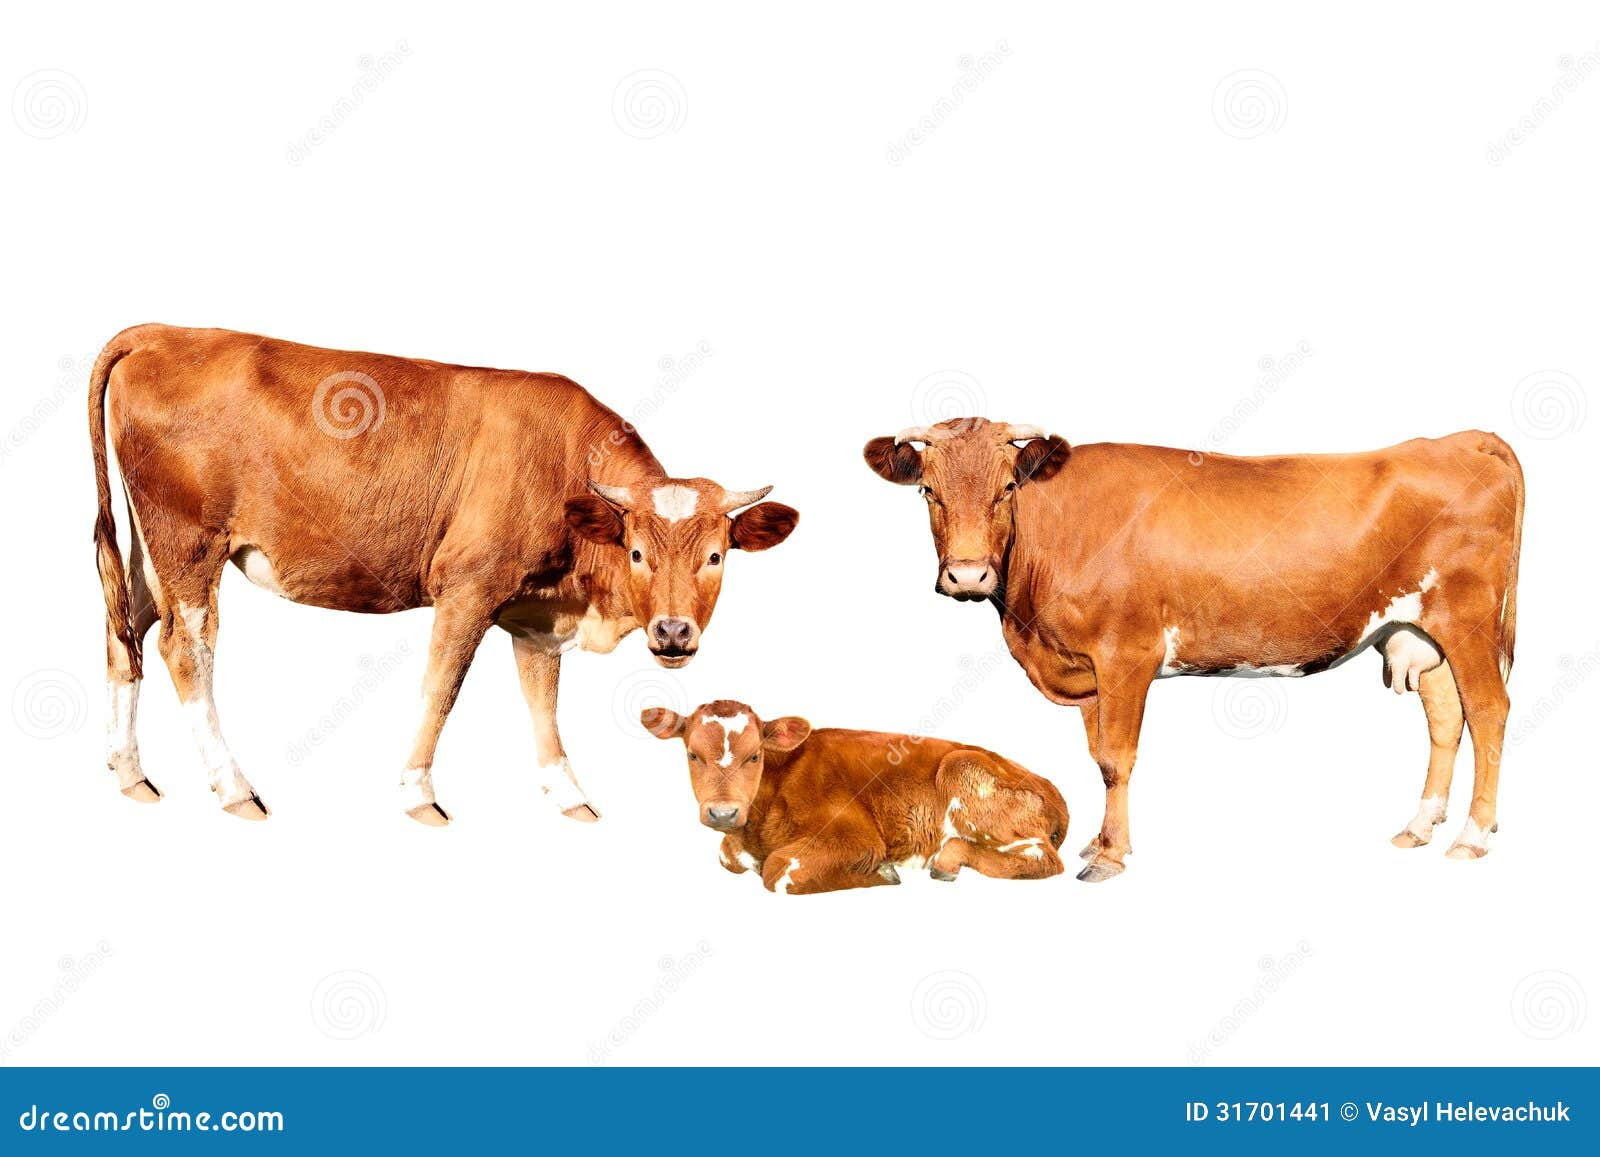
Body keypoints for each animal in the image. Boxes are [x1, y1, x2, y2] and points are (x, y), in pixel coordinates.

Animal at [89, 324, 798, 824]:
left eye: (716, 555)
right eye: (637, 553)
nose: (674, 633)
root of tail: (160, 332)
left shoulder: (536, 617)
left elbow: (543, 703)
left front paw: (570, 796)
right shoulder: (468, 587)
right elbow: (440, 689)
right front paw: (417, 794)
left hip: (149, 555)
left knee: (124, 635)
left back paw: (131, 776)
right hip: (188, 545)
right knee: (186, 650)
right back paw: (234, 788)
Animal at [639, 699, 1070, 894]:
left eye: (755, 755)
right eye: (692, 754)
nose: (723, 813)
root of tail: (1049, 786)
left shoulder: (855, 836)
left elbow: (778, 871)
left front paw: (880, 873)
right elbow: (727, 856)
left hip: (961, 770)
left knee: (1043, 860)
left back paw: (947, 860)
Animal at [863, 418, 1524, 881]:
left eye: (1006, 488)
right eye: (928, 490)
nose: (967, 575)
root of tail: (1463, 439)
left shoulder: (1126, 654)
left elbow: (1116, 760)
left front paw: (1111, 856)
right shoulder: (1089, 672)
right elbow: (1096, 755)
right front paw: (1098, 840)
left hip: (1467, 619)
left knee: (1489, 712)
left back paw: (1473, 835)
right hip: (1417, 629)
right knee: (1446, 718)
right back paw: (1419, 826)